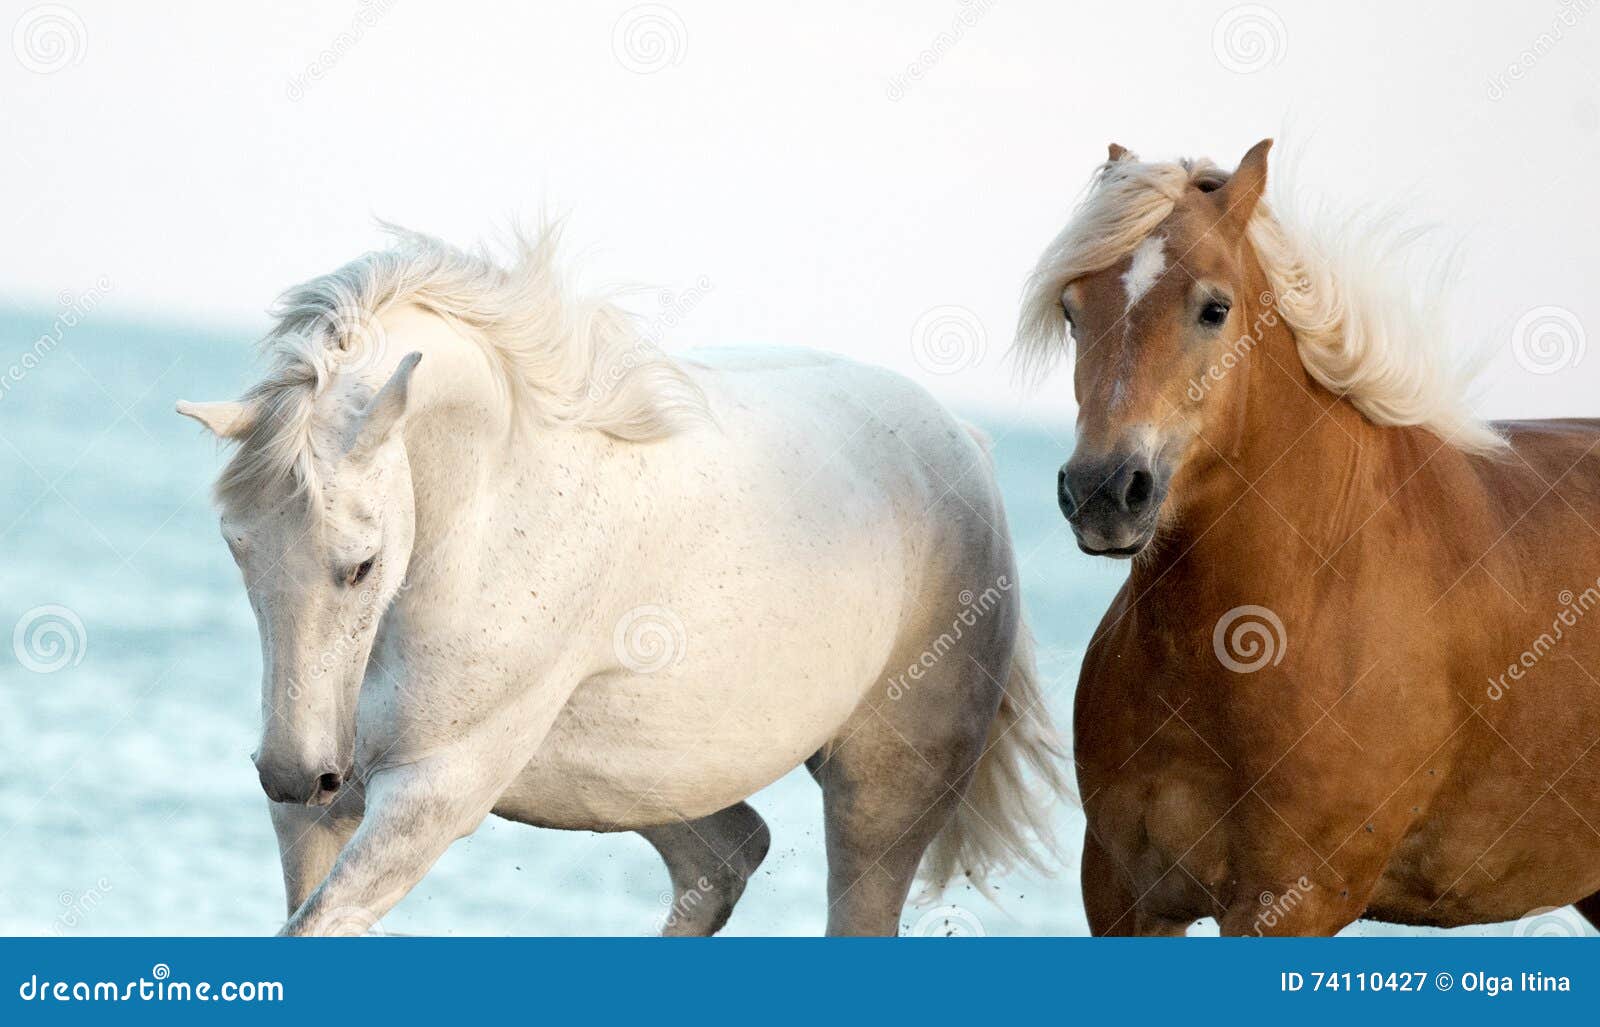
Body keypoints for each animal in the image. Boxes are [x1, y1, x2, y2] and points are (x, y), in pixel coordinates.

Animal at [177, 225, 1066, 936]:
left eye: (359, 563)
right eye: (238, 547)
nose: (297, 772)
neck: (487, 517)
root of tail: (966, 443)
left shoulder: (432, 795)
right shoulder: (320, 815)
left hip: (880, 801)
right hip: (637, 784)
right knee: (729, 855)